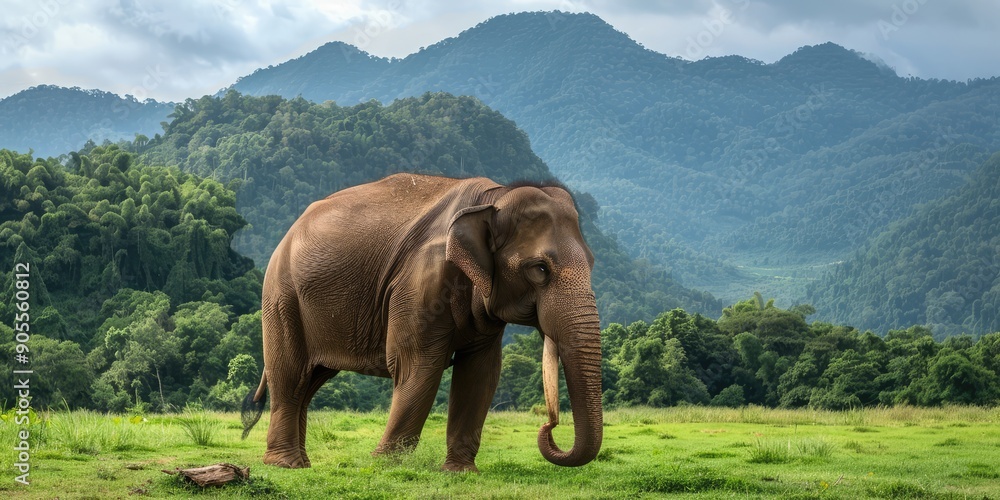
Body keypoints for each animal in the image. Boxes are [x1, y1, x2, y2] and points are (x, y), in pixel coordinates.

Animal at [241, 173, 603, 472]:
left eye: (592, 263)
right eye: (540, 269)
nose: (549, 429)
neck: (494, 196)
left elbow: (481, 372)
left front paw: (459, 471)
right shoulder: (419, 281)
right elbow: (417, 364)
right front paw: (383, 464)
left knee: (310, 380)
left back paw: (301, 463)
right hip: (281, 296)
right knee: (290, 374)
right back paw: (286, 465)